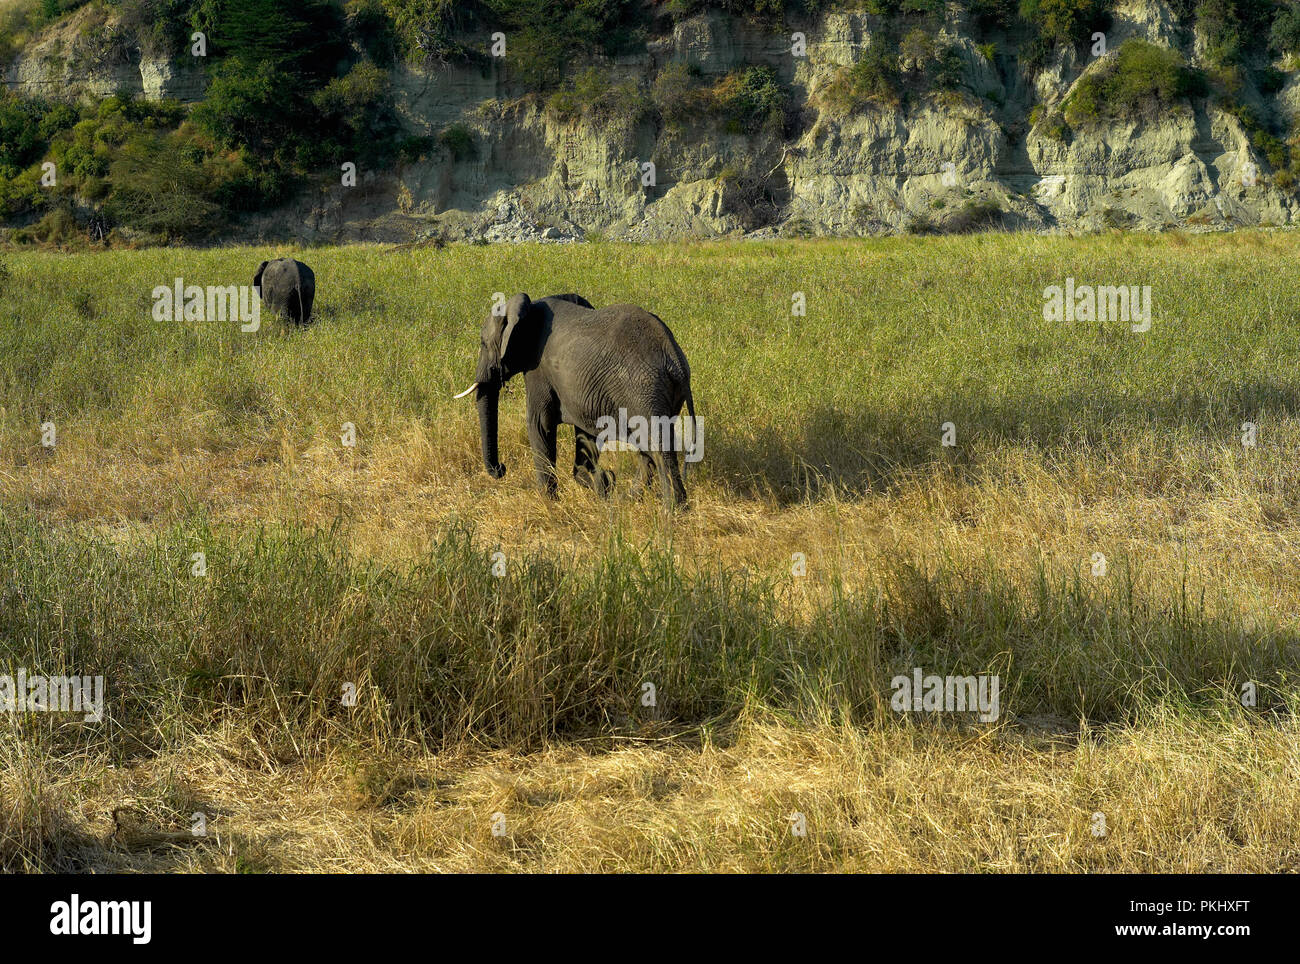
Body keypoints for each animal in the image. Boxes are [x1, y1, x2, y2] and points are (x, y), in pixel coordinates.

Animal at [454, 292, 697, 506]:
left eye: (483, 343)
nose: (502, 468)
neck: (529, 307)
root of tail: (673, 355)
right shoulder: (588, 390)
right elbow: (585, 433)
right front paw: (602, 482)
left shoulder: (539, 370)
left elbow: (539, 424)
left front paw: (549, 503)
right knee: (649, 447)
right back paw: (626, 500)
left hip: (642, 390)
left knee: (658, 446)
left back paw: (671, 510)